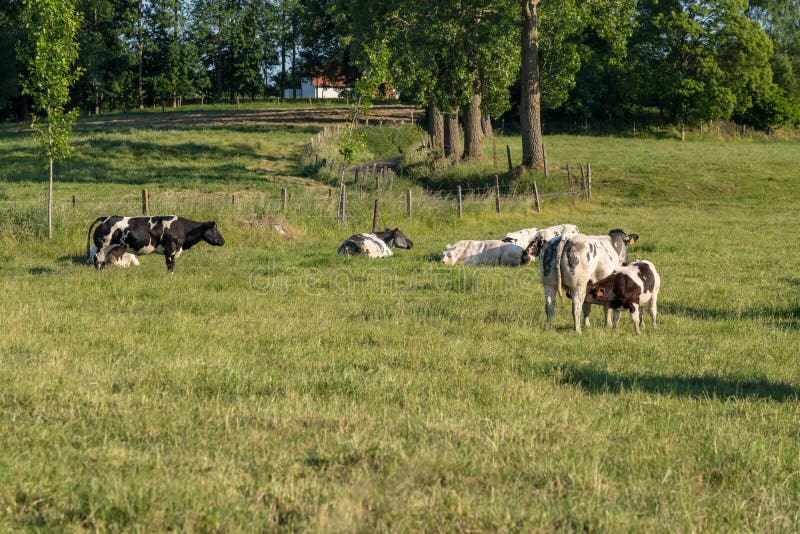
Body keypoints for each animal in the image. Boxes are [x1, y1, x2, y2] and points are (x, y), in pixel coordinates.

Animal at [87, 215, 225, 273]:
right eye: (214, 229)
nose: (223, 241)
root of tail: (106, 218)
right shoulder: (170, 250)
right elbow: (170, 265)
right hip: (103, 247)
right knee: (98, 259)